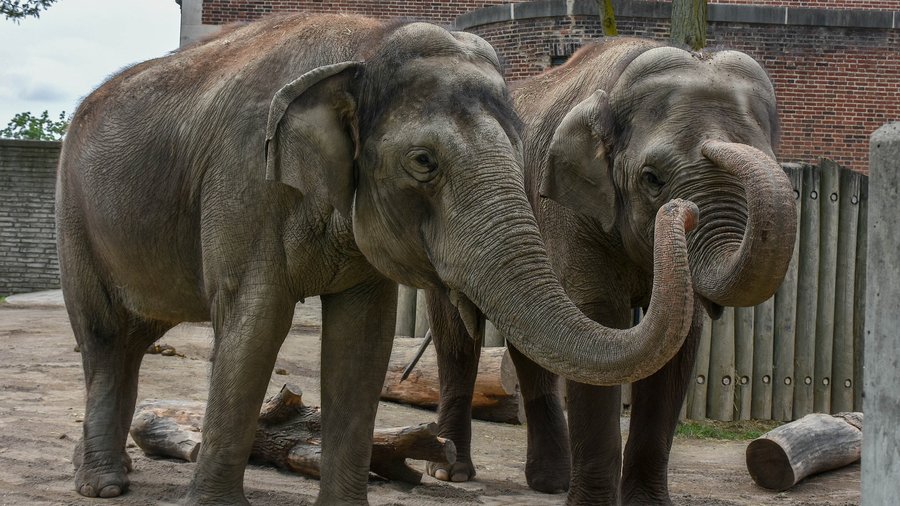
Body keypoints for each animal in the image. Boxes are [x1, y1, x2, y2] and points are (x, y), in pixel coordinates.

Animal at [56, 16, 702, 505]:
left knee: (134, 337)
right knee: (104, 333)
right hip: (72, 213)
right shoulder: (243, 183)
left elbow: (364, 339)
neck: (364, 48)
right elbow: (256, 324)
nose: (687, 209)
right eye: (423, 162)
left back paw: (109, 470)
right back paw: (103, 485)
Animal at [425, 37, 797, 504]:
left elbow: (673, 345)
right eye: (652, 178)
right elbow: (600, 320)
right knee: (455, 337)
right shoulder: (568, 210)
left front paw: (647, 504)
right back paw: (450, 471)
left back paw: (551, 482)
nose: (685, 212)